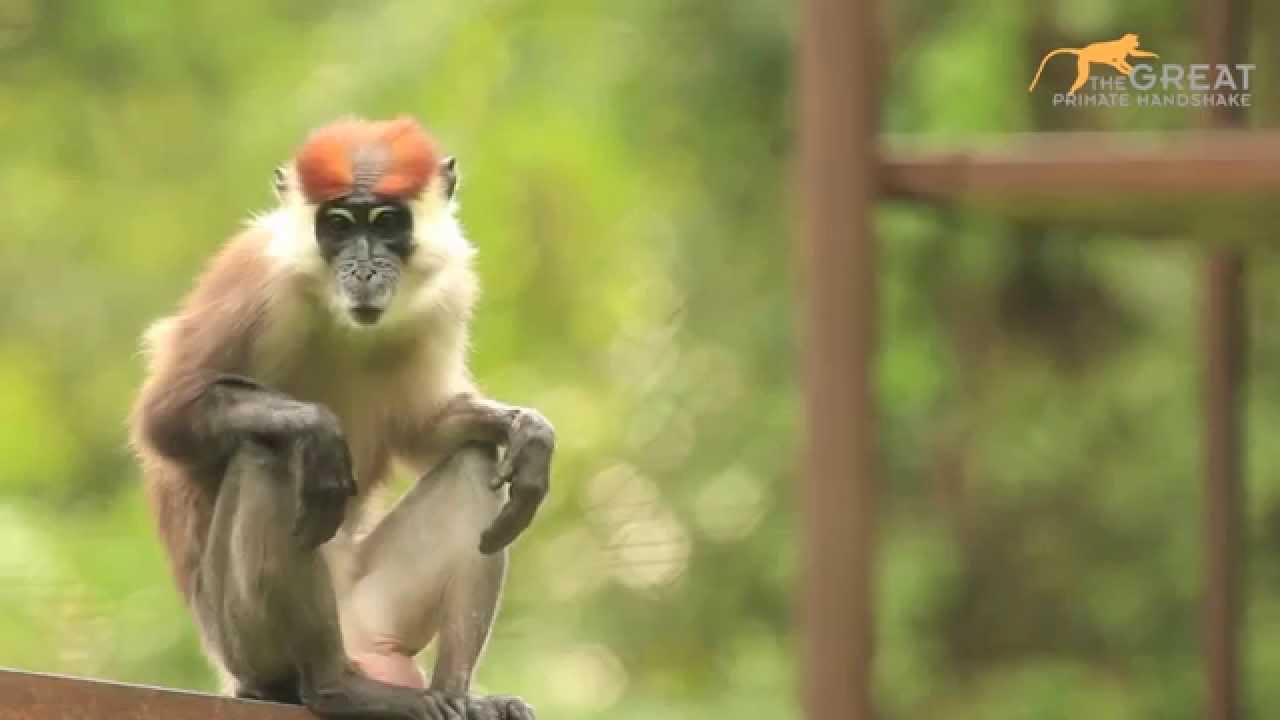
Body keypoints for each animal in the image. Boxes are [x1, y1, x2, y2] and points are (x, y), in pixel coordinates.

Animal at [130, 117, 553, 720]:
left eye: (387, 222)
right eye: (338, 225)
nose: (365, 268)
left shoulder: (447, 291)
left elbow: (426, 430)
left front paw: (528, 431)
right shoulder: (254, 275)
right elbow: (162, 418)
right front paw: (319, 430)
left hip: (369, 614)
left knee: (475, 459)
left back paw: (457, 695)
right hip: (244, 642)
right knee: (269, 451)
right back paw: (338, 687)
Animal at [1028, 33, 1159, 95]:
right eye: (1136, 40)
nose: (1138, 43)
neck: (1123, 44)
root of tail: (1083, 50)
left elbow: (1128, 57)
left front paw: (1152, 55)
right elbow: (1118, 62)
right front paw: (1128, 70)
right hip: (1084, 61)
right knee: (1083, 75)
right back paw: (1072, 91)